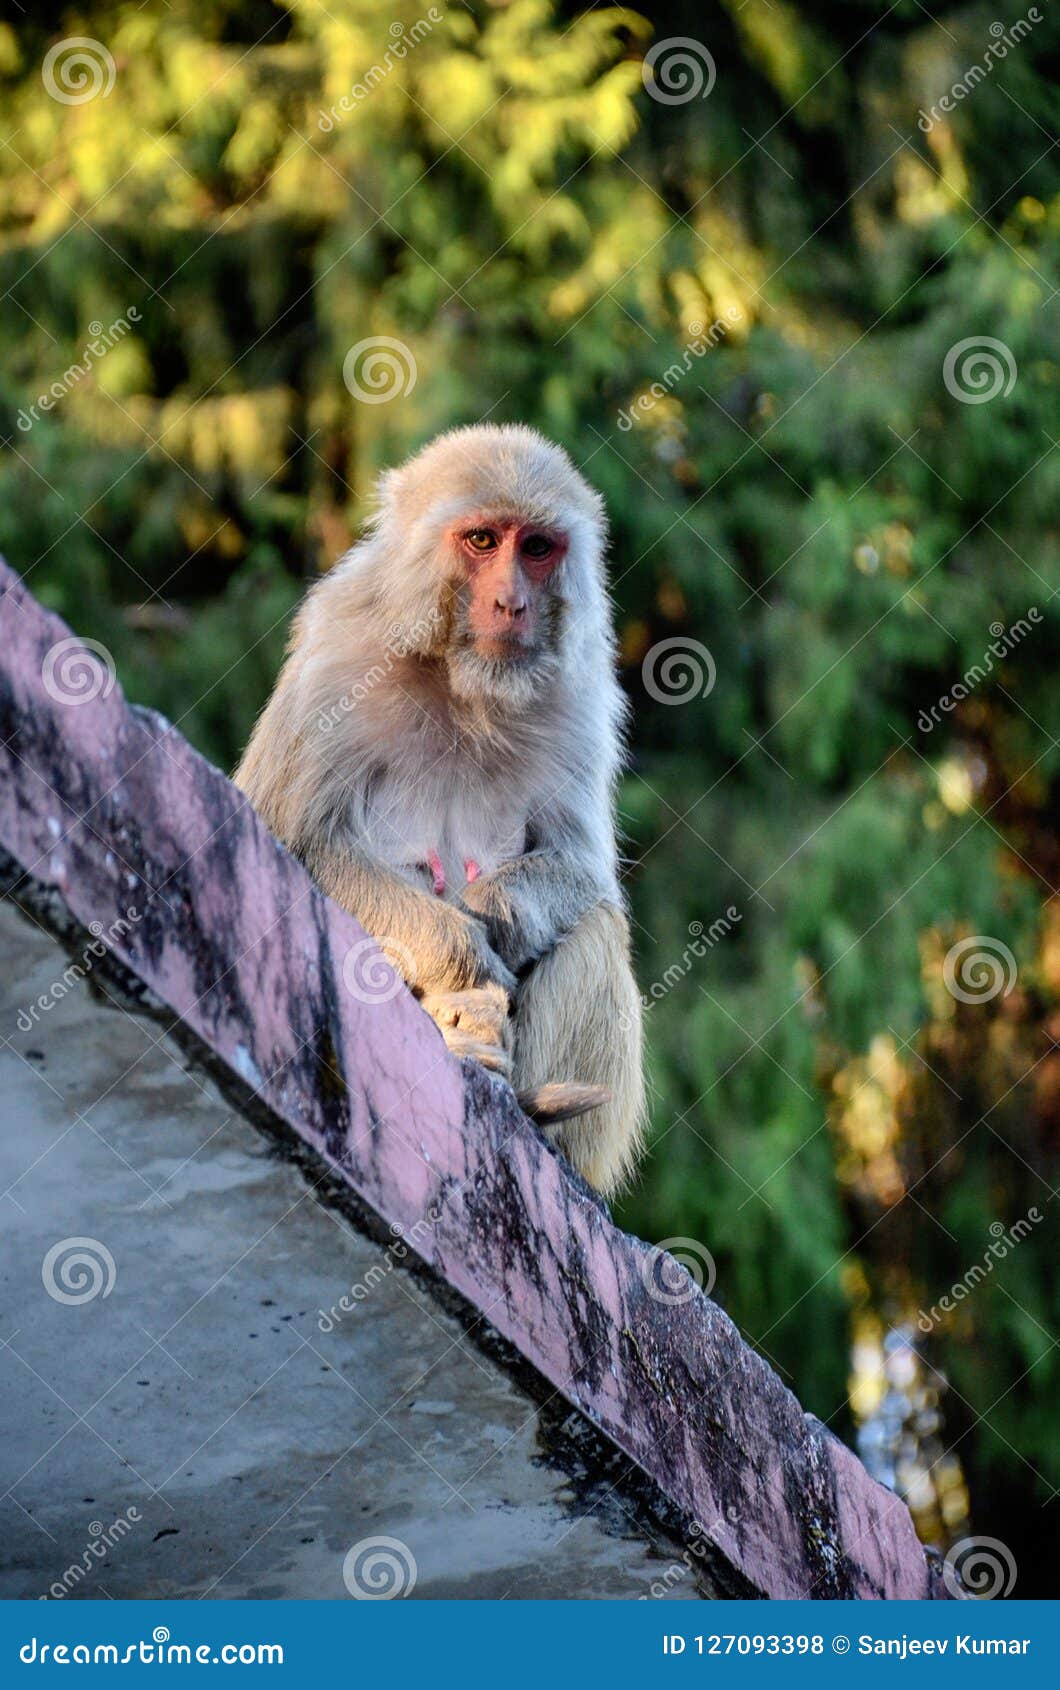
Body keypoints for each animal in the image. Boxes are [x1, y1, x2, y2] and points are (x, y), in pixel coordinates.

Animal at [234, 424, 644, 1196]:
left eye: (536, 548)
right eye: (482, 540)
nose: (512, 603)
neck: (461, 681)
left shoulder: (580, 693)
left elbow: (583, 869)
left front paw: (495, 917)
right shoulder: (340, 650)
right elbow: (294, 839)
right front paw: (462, 953)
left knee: (595, 925)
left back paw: (539, 1123)